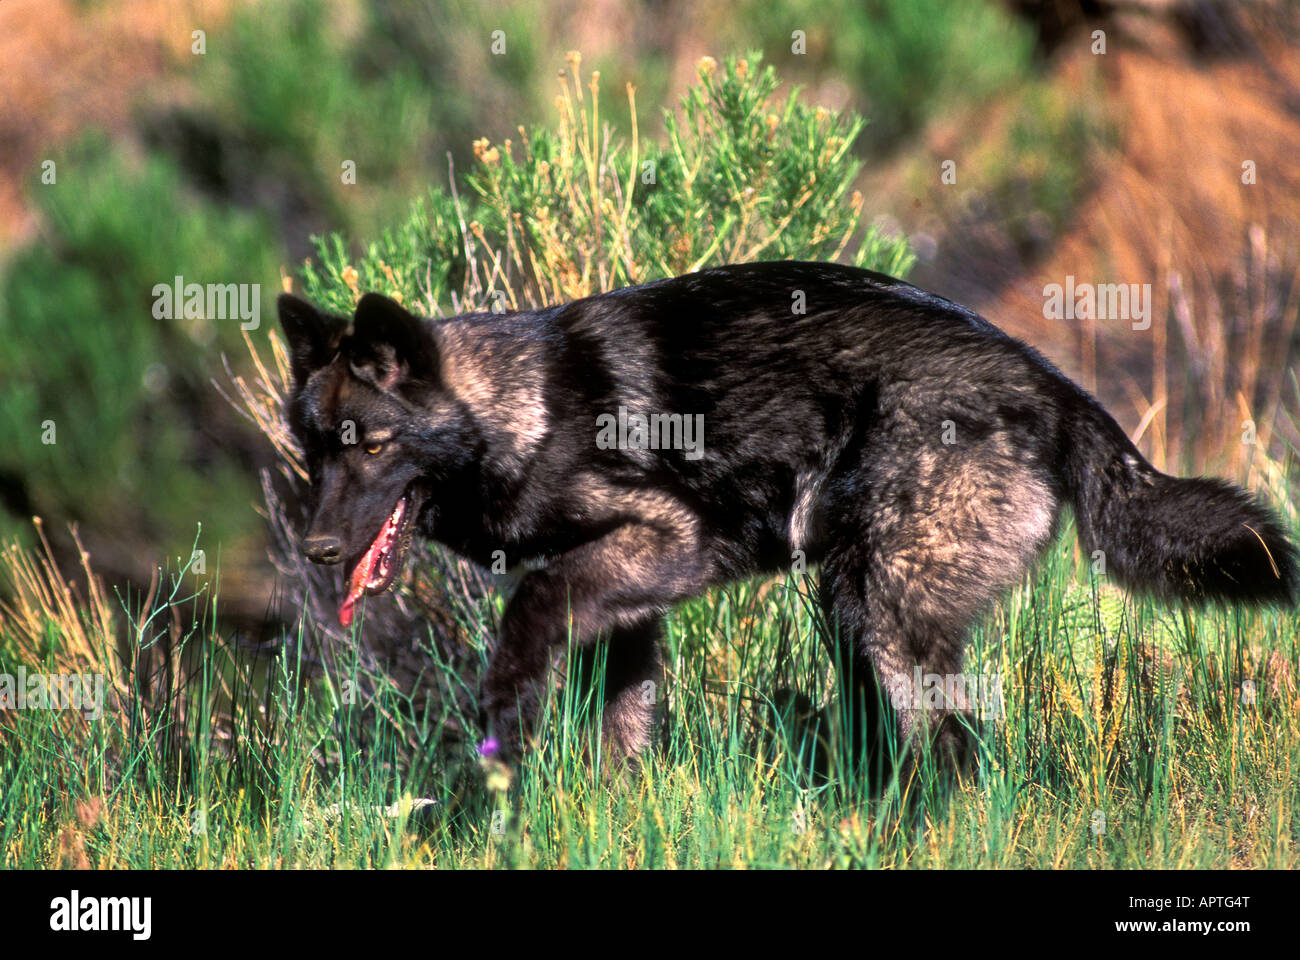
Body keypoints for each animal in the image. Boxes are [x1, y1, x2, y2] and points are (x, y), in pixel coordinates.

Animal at [278, 260, 1297, 773]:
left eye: (371, 445)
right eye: (312, 450)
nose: (318, 548)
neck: (527, 408)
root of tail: (1057, 389)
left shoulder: (676, 542)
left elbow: (526, 614)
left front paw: (503, 726)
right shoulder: (628, 609)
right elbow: (621, 739)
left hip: (886, 614)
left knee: (955, 752)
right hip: (852, 607)